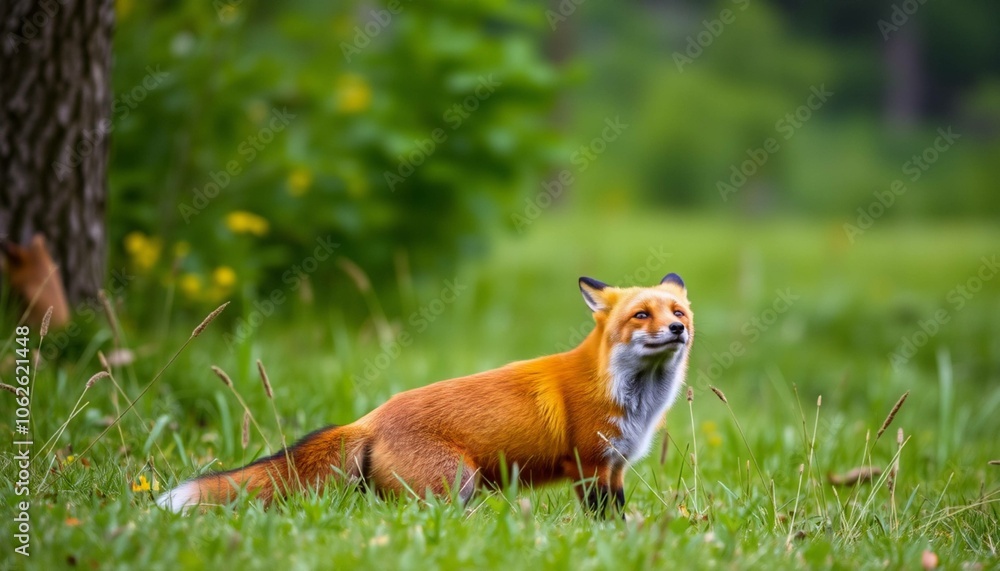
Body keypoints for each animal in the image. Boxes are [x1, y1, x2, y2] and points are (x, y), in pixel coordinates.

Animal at [157, 273, 694, 517]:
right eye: (641, 315)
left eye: (678, 312)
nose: (677, 330)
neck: (633, 398)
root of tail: (368, 419)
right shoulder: (590, 464)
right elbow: (603, 517)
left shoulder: (615, 465)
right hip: (459, 484)